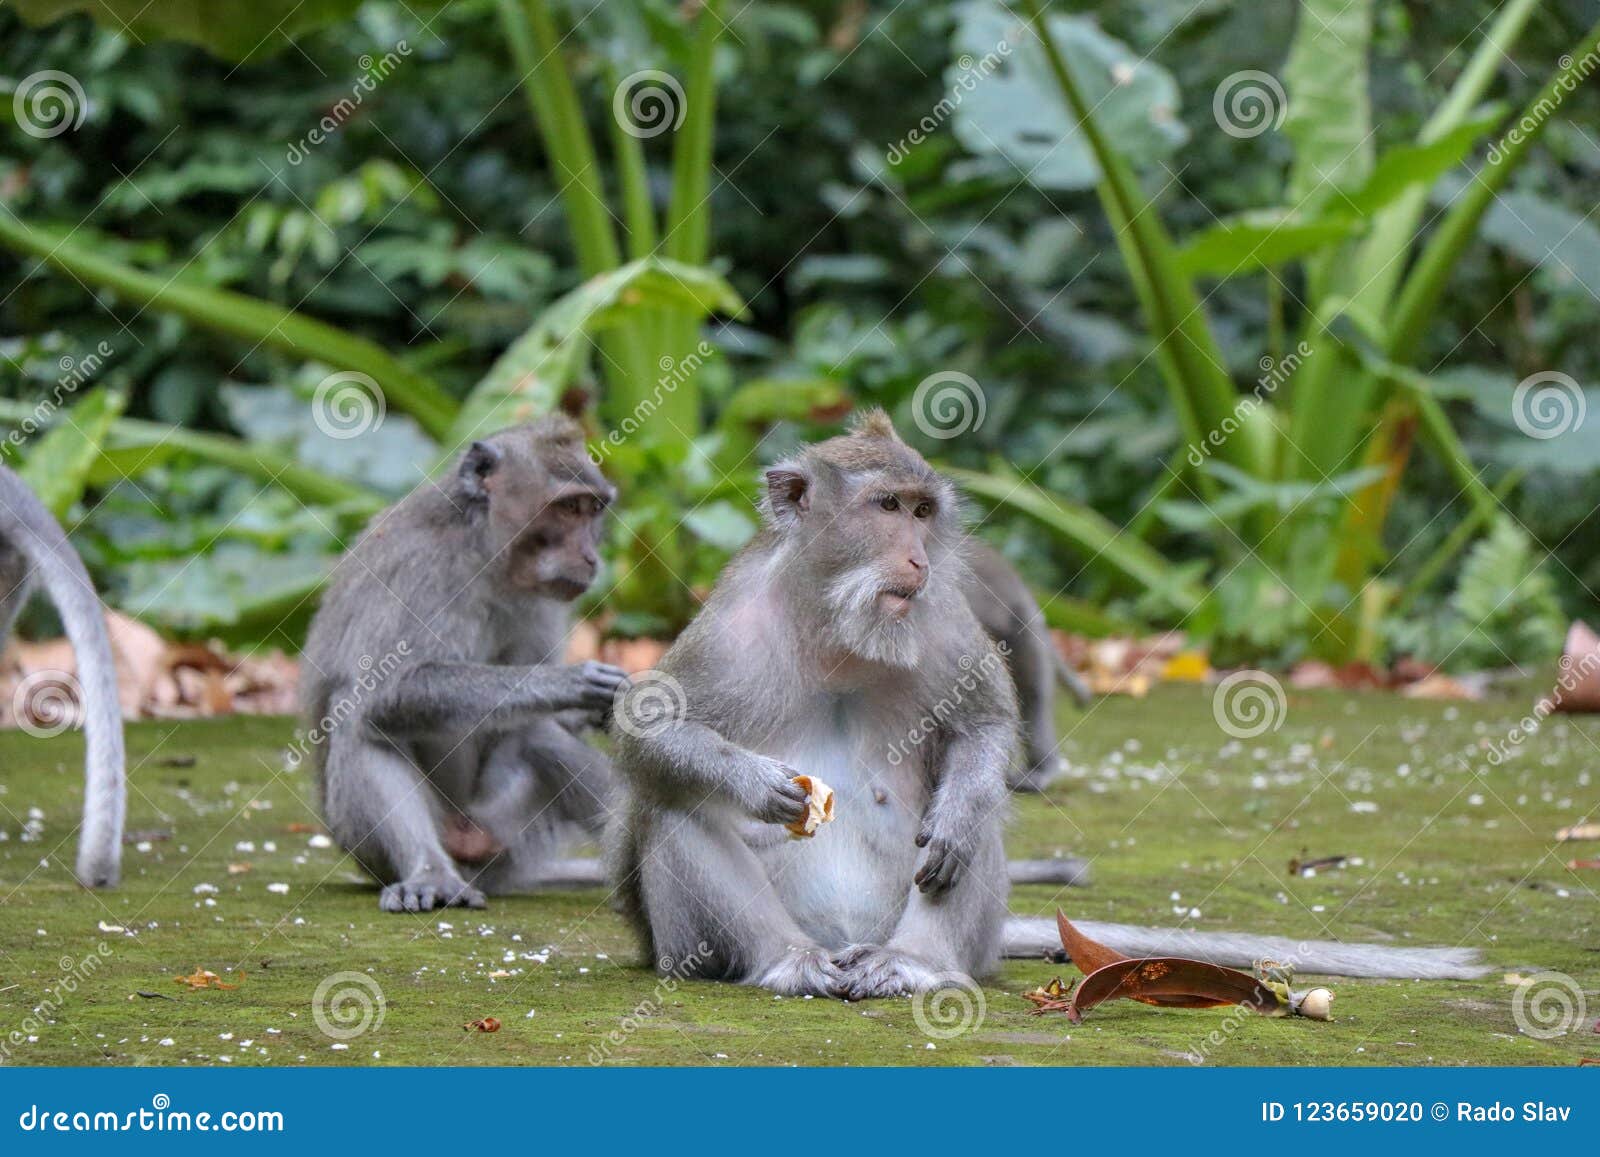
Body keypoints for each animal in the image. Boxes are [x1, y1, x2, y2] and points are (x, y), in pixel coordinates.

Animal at [300, 417, 629, 913]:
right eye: (569, 508)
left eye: (594, 509)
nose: (592, 558)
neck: (486, 554)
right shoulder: (419, 567)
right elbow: (388, 690)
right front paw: (576, 682)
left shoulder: (542, 601)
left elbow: (544, 722)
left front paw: (595, 710)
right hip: (370, 844)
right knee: (357, 715)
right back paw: (430, 873)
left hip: (509, 831)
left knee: (538, 736)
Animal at [607, 410, 1015, 999]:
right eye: (887, 505)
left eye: (922, 511)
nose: (919, 560)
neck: (837, 629)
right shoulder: (731, 625)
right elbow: (648, 725)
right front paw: (752, 781)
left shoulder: (943, 616)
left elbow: (983, 725)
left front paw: (955, 820)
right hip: (680, 947)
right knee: (670, 802)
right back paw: (786, 957)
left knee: (978, 815)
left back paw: (914, 960)